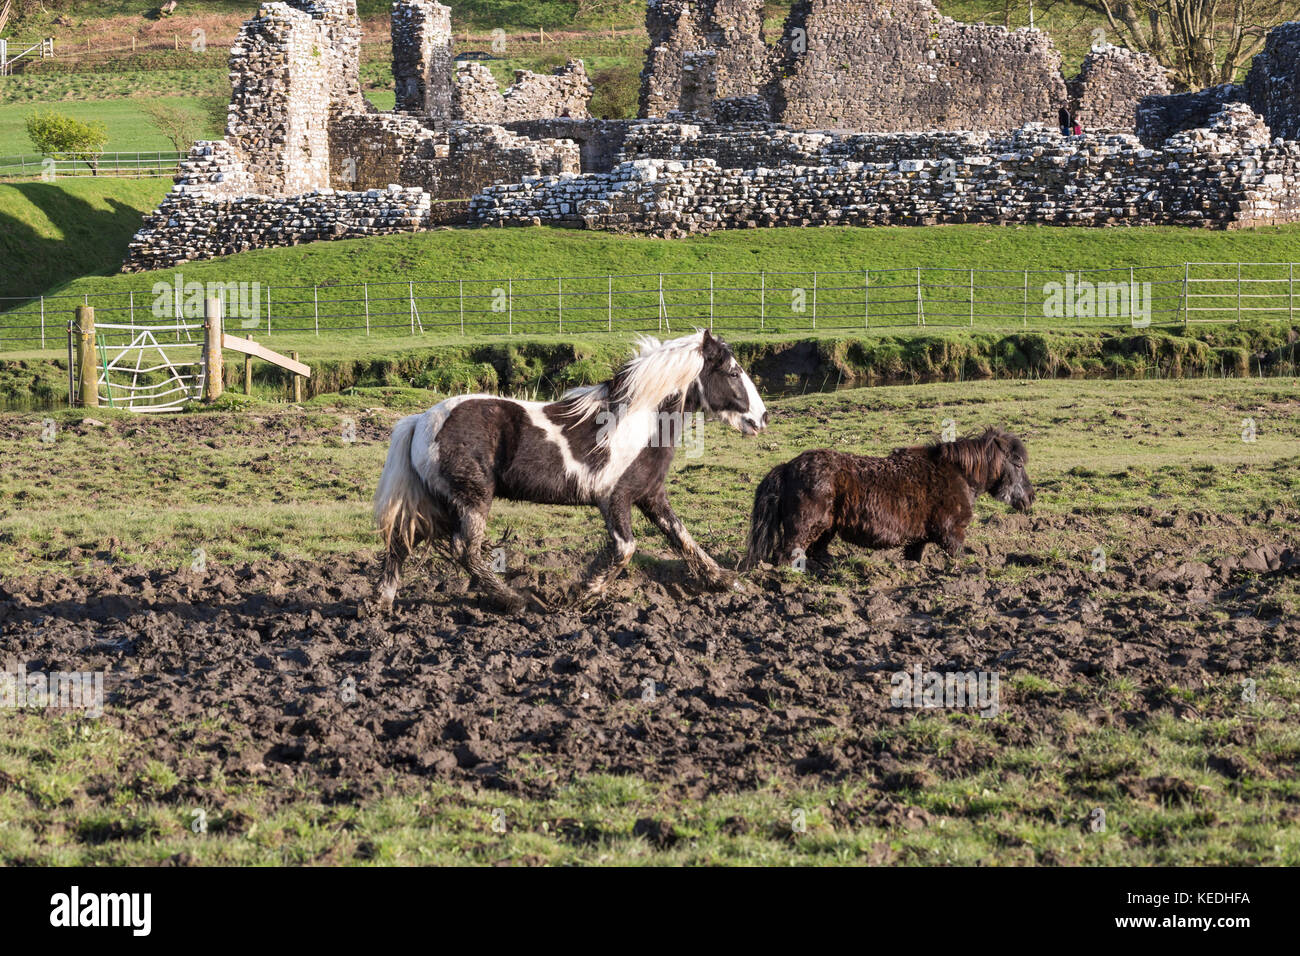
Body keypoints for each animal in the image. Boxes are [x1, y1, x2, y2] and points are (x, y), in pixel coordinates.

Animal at [374, 331, 768, 611]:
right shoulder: (615, 498)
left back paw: (381, 602)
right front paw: (578, 596)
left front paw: (729, 581)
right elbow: (625, 549)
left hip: (437, 501)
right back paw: (515, 601)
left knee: (402, 542)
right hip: (471, 499)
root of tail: (419, 420)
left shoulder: (650, 496)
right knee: (465, 550)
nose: (761, 419)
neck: (638, 422)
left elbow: (683, 539)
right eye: (734, 372)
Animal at [743, 427, 1034, 570]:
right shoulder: (952, 536)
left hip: (825, 530)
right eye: (1018, 463)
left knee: (816, 553)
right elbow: (959, 559)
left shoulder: (919, 541)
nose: (1030, 498)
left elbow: (915, 560)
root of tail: (788, 467)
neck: (958, 474)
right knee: (785, 556)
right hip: (805, 530)